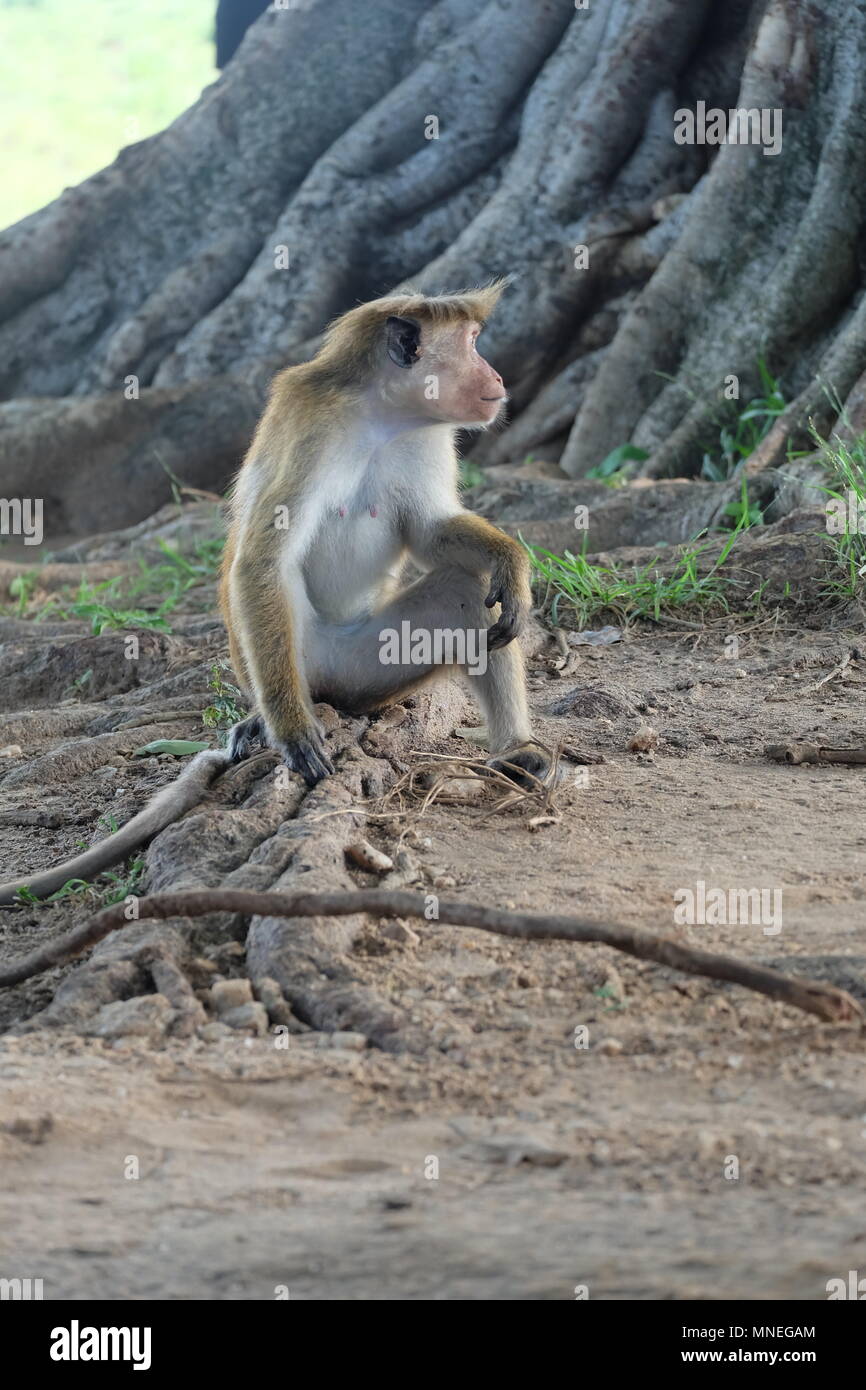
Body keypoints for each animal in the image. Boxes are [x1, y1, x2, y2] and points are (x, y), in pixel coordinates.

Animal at [0, 283, 548, 907]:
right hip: (300, 658)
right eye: (471, 342)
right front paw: (286, 729)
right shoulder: (313, 425)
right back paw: (268, 720)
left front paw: (511, 563)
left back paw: (515, 750)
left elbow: (432, 534)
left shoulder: (429, 436)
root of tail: (332, 688)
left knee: (468, 589)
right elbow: (264, 560)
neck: (383, 417)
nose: (497, 374)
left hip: (373, 668)